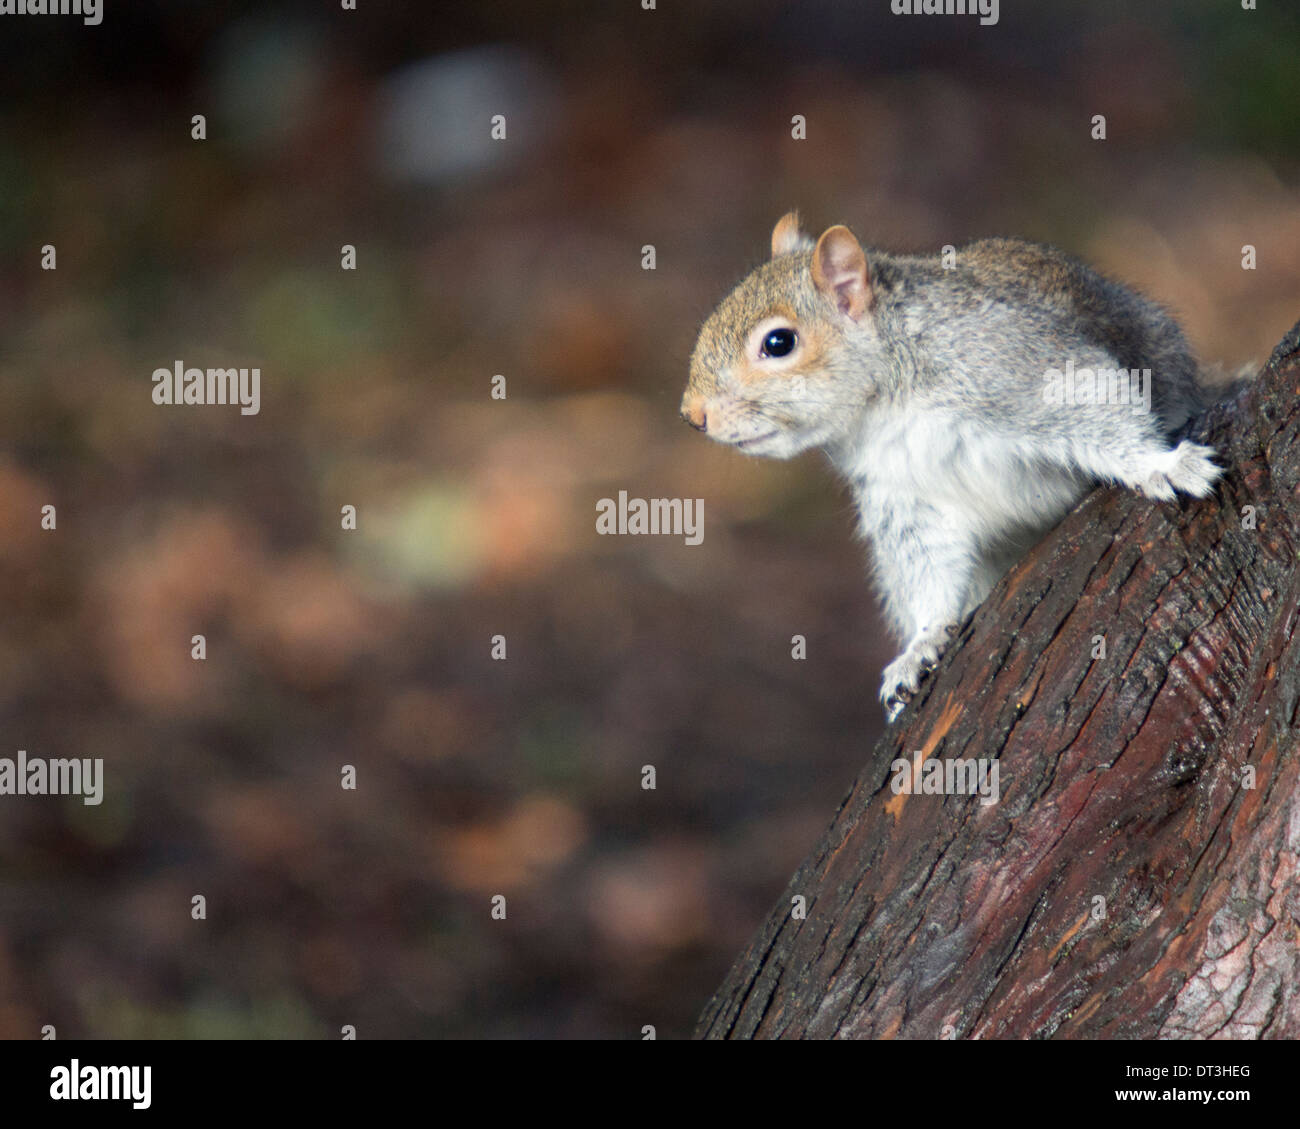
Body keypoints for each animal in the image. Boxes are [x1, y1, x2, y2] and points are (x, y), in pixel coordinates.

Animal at [681, 212, 1224, 721]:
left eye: (778, 343)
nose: (693, 415)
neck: (882, 406)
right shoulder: (904, 498)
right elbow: (928, 569)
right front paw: (921, 646)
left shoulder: (1012, 367)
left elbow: (1098, 408)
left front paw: (1159, 465)